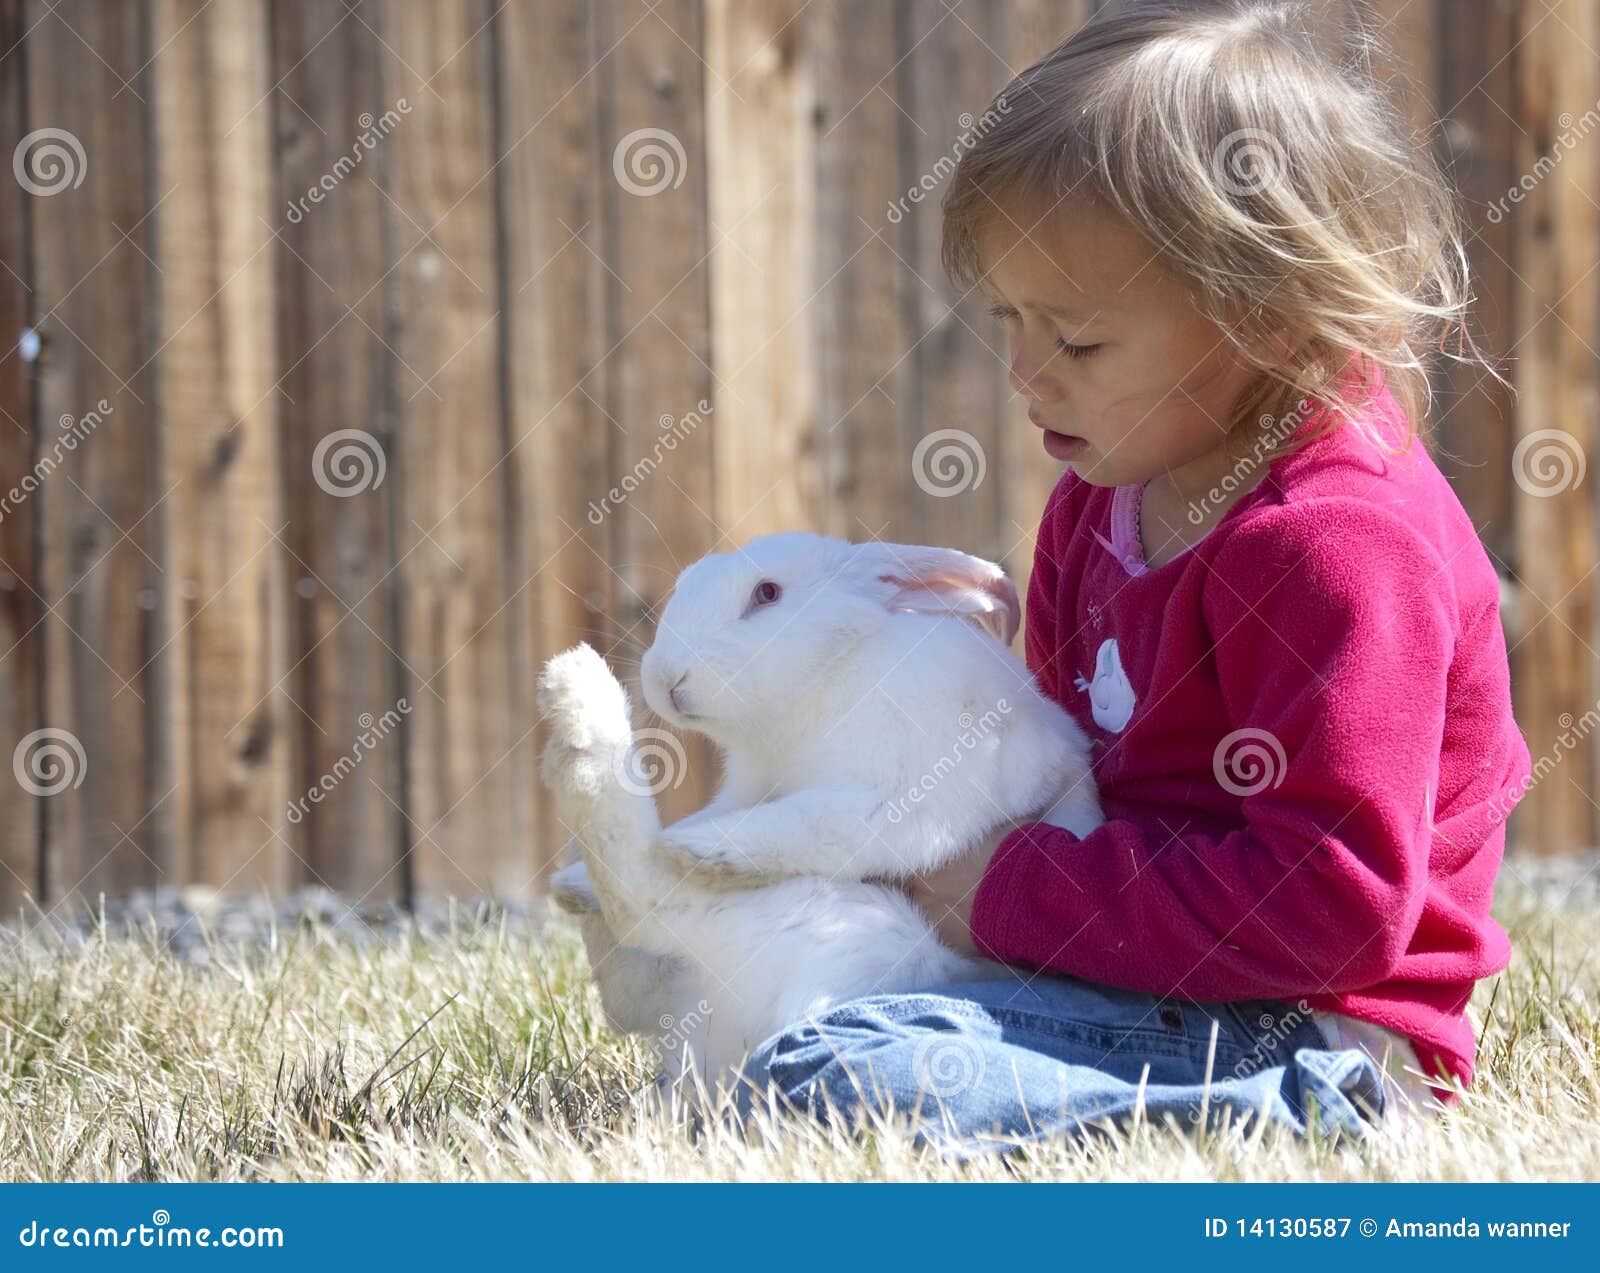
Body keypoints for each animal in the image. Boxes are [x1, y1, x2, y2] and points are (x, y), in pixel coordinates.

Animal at [537, 532, 1102, 1089]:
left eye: (767, 593)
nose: (665, 678)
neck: (836, 670)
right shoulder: (748, 790)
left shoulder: (901, 798)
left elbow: (800, 826)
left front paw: (704, 847)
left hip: (833, 919)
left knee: (646, 898)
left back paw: (578, 694)